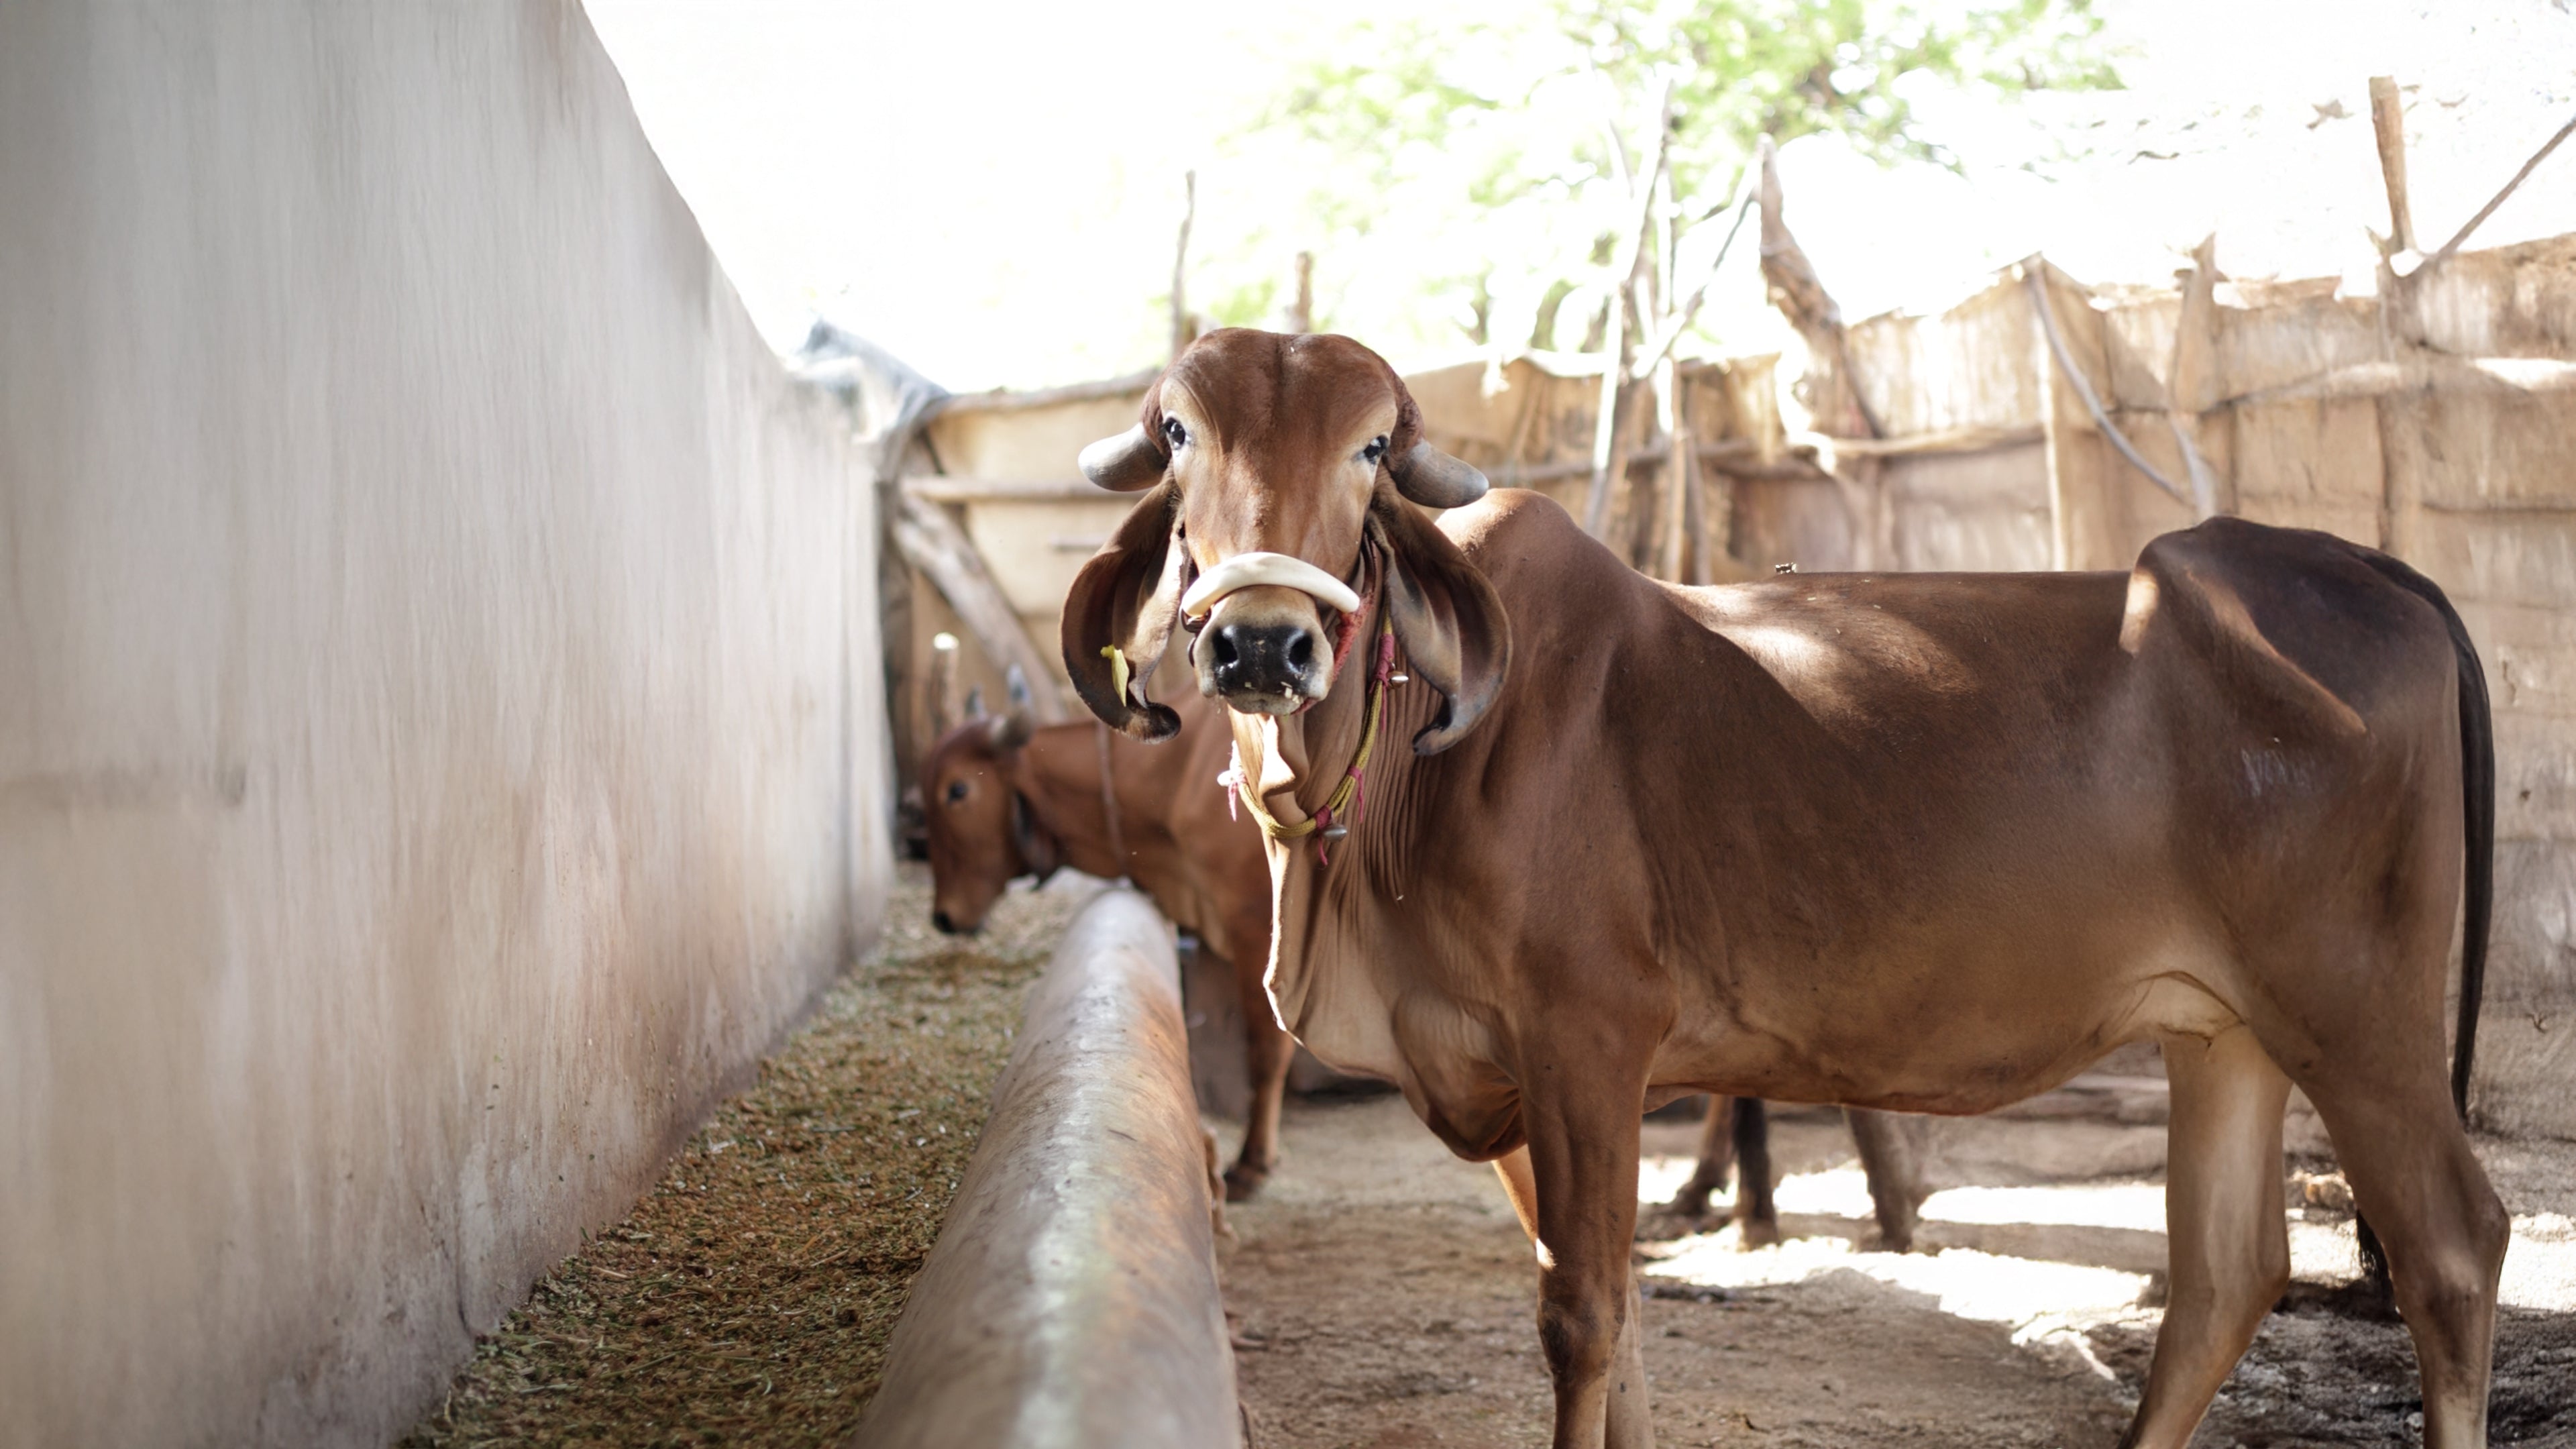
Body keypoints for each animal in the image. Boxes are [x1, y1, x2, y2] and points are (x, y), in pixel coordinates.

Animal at [918, 691, 1296, 1200]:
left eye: (957, 791)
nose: (944, 917)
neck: (1178, 771)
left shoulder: (1258, 930)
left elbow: (1266, 1052)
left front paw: (1254, 1164)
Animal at [1061, 329, 2502, 1449]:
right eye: (1179, 433)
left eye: (1370, 448)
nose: (1261, 643)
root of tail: (2367, 568)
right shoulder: (1508, 1072)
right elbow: (1620, 1319)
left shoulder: (1588, 1040)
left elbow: (1582, 1316)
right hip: (2227, 1030)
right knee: (2224, 1277)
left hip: (2355, 1009)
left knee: (2449, 1251)